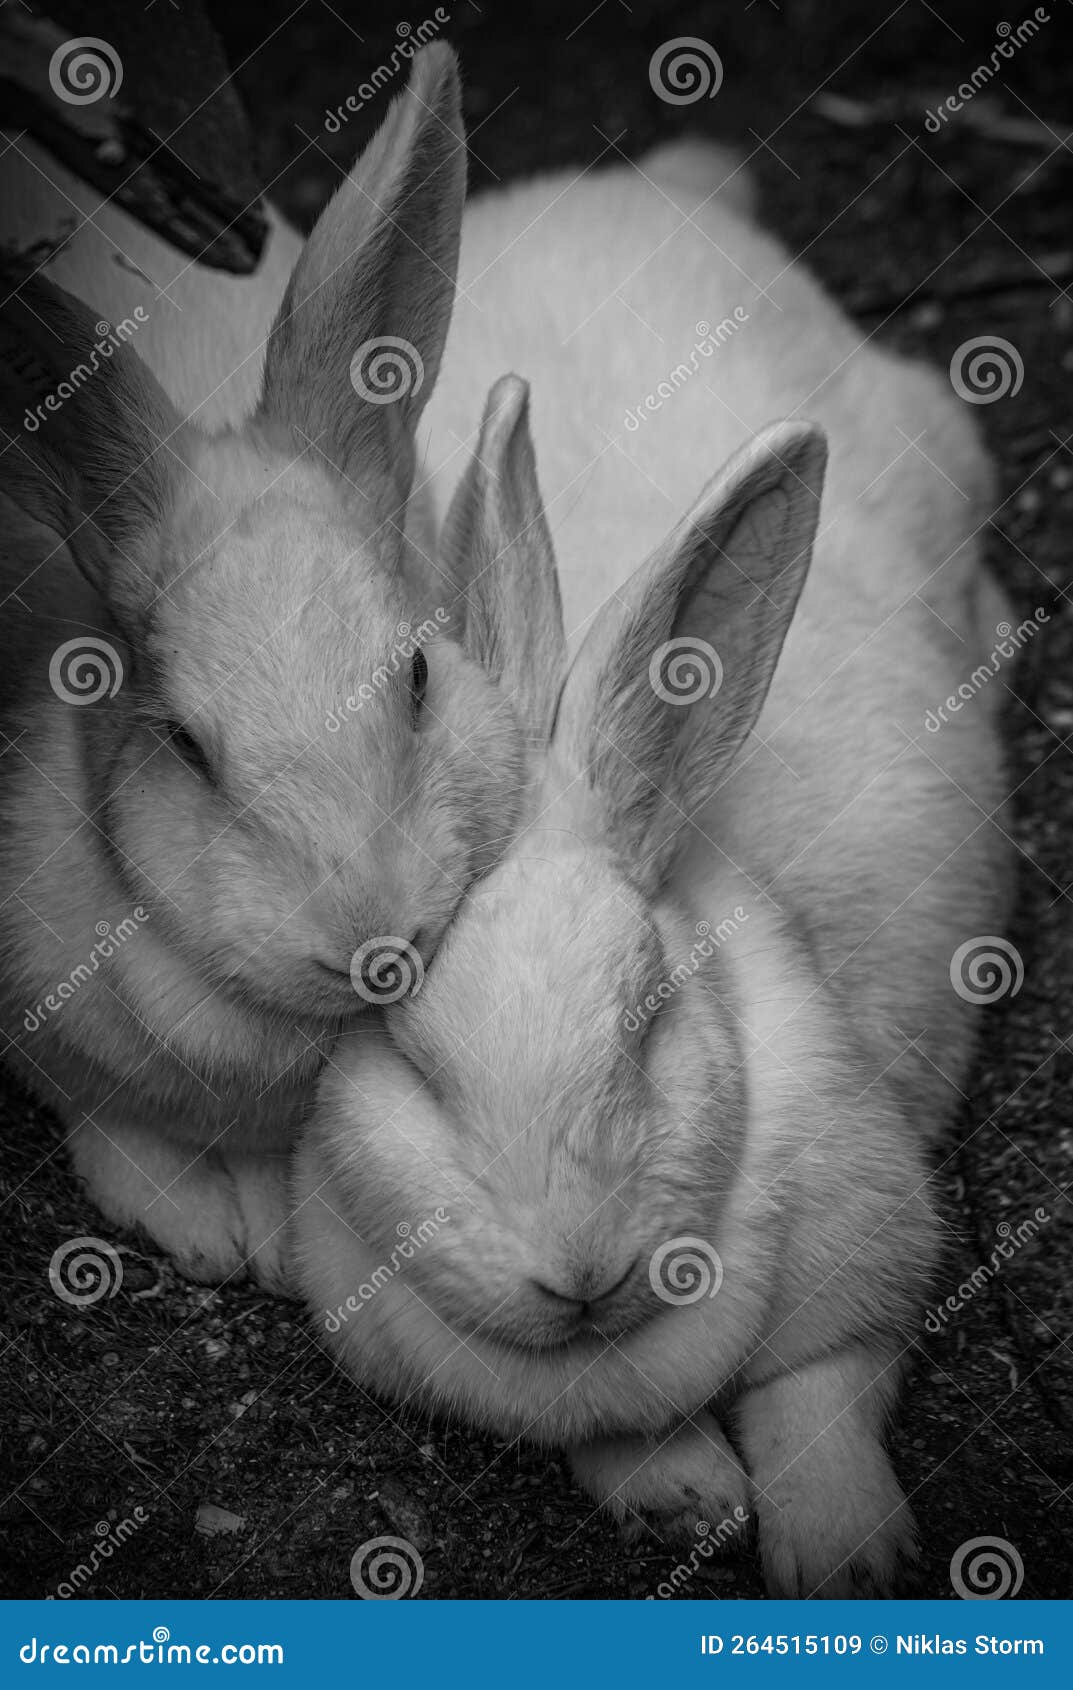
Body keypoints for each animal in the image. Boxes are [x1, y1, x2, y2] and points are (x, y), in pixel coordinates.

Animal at [292, 141, 1015, 1596]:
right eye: (414, 1065)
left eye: (648, 1021)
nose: (577, 1269)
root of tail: (654, 181)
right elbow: (623, 1437)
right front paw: (681, 1497)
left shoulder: (870, 1255)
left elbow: (820, 1396)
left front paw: (847, 1561)